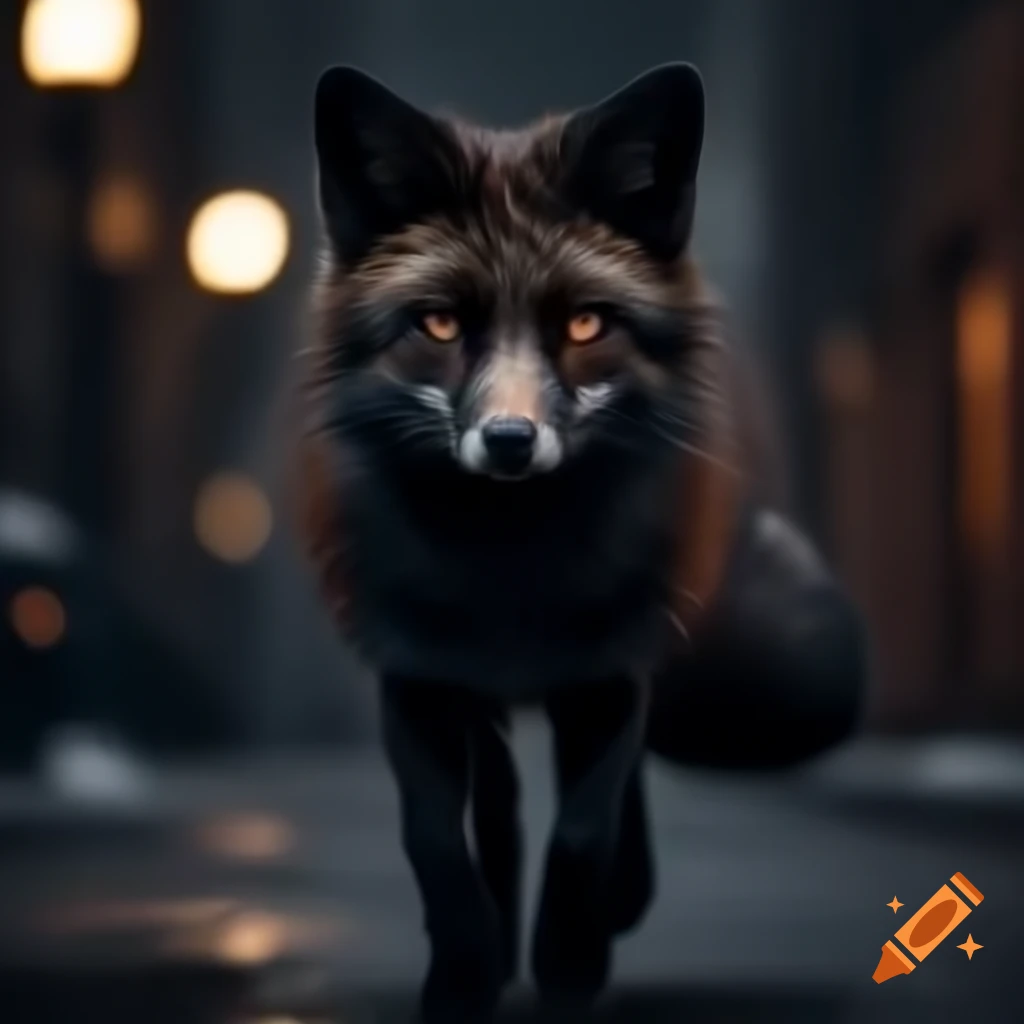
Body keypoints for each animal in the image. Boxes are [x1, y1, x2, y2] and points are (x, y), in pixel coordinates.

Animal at [294, 62, 867, 1023]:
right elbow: (436, 844)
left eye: (586, 326)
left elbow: (586, 827)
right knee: (500, 807)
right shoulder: (417, 675)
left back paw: (614, 905)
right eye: (440, 327)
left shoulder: (608, 668)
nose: (510, 441)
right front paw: (465, 976)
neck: (512, 576)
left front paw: (570, 961)